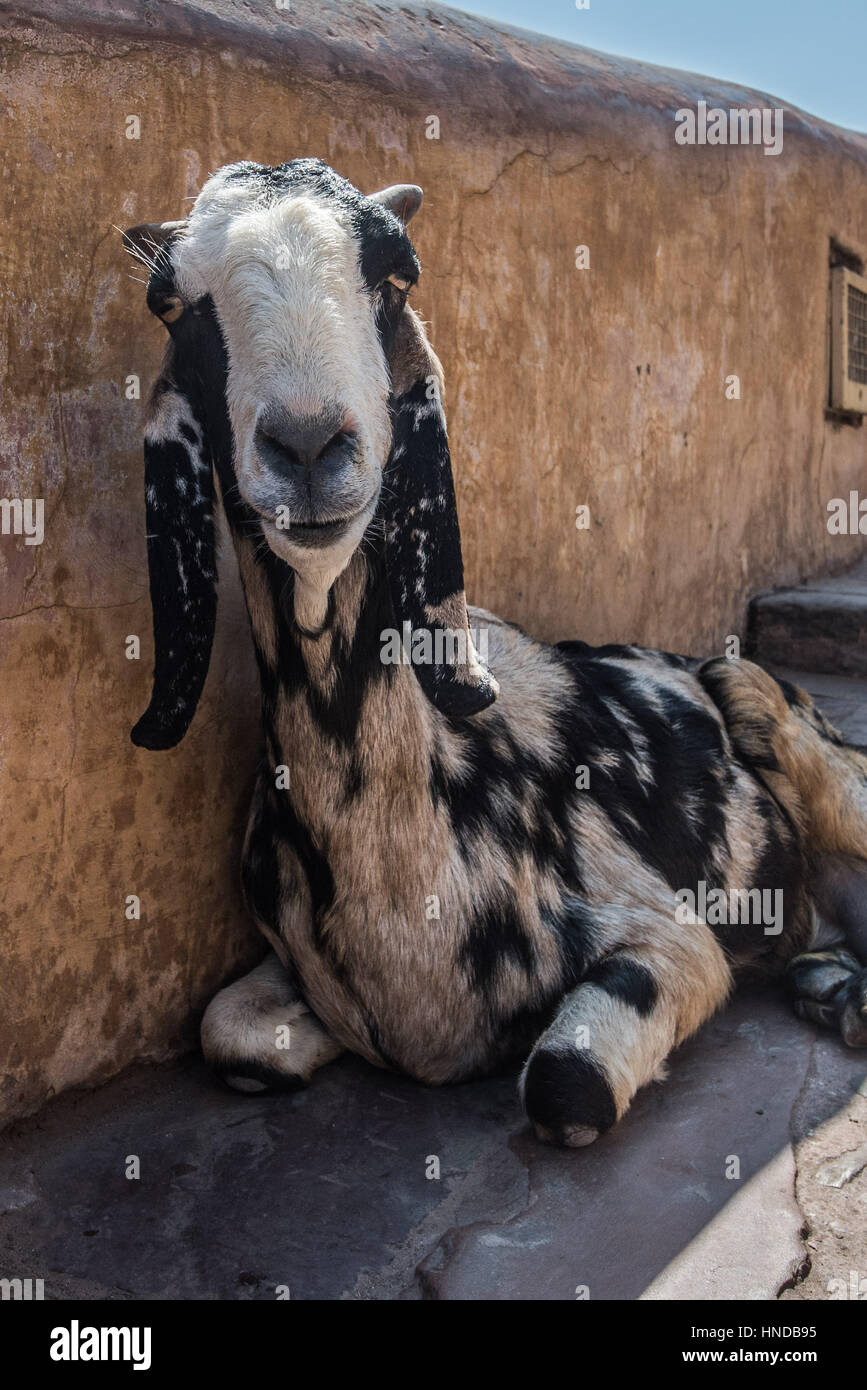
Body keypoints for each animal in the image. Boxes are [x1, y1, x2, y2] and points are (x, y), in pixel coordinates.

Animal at [124, 159, 867, 1147]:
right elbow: (232, 1038)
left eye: (396, 278)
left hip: (794, 734)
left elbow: (564, 1085)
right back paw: (834, 988)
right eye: (172, 302)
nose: (310, 446)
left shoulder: (672, 937)